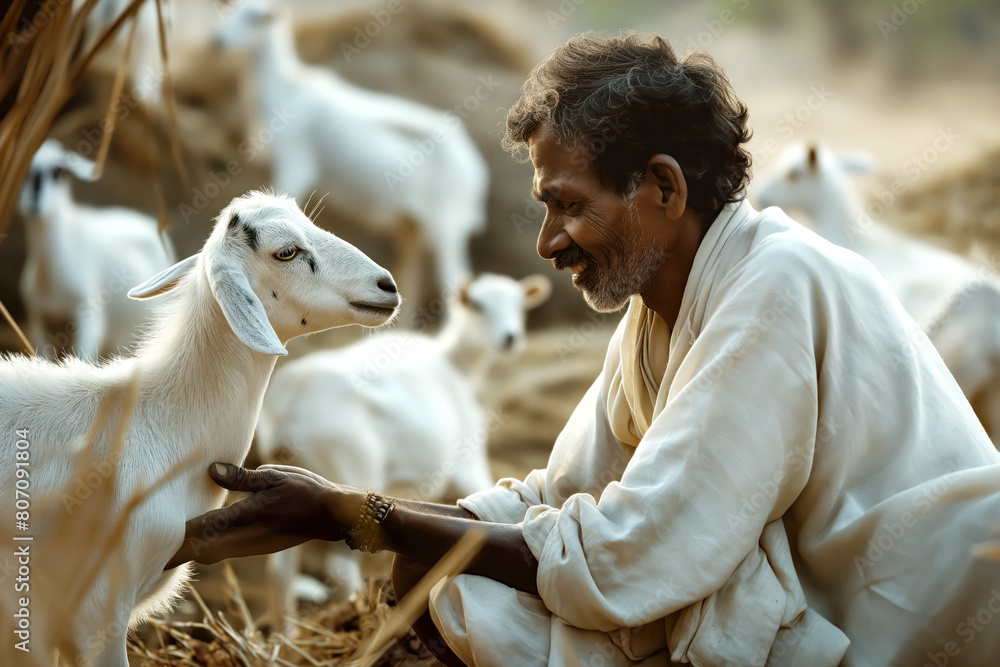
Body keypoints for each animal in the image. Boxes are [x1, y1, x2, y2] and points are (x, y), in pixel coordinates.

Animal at [212, 0, 490, 312]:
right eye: (228, 11)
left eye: (255, 19)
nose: (217, 42)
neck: (286, 88)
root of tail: (477, 175)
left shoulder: (296, 161)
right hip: (412, 226)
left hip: (447, 227)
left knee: (455, 285)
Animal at [255, 272, 551, 623]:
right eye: (477, 304)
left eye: (519, 304)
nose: (509, 338)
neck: (455, 363)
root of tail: (288, 403)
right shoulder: (465, 459)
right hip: (350, 465)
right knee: (339, 568)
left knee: (280, 571)